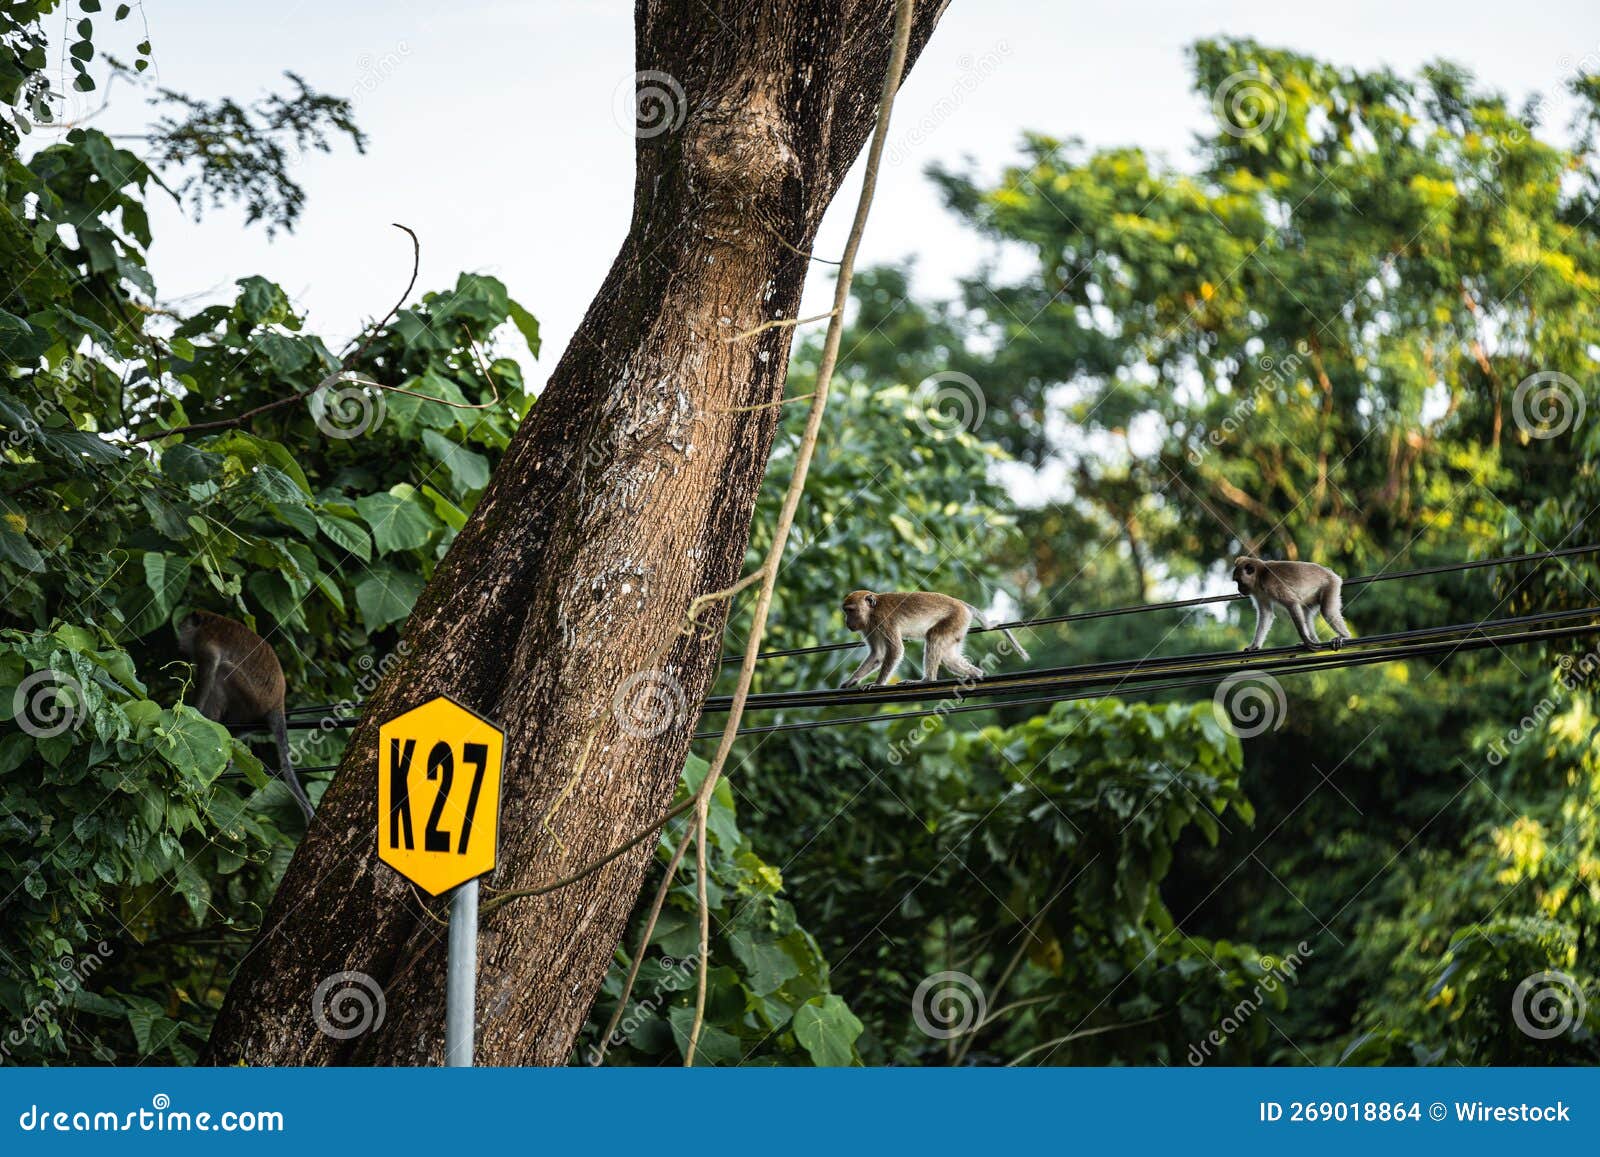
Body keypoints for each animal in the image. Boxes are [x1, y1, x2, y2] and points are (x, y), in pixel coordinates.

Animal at [177, 610, 314, 821]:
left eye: (183, 627)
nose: (179, 640)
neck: (209, 621)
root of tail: (278, 703)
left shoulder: (204, 643)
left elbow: (209, 670)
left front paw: (193, 711)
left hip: (251, 699)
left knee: (223, 671)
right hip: (252, 718)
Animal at [839, 590, 1030, 687]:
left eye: (850, 610)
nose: (847, 622)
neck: (872, 612)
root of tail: (962, 604)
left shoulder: (884, 619)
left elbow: (895, 650)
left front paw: (878, 684)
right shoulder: (869, 627)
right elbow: (877, 654)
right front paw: (851, 681)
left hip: (955, 619)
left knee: (934, 636)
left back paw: (927, 680)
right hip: (959, 627)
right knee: (948, 657)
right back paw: (976, 674)